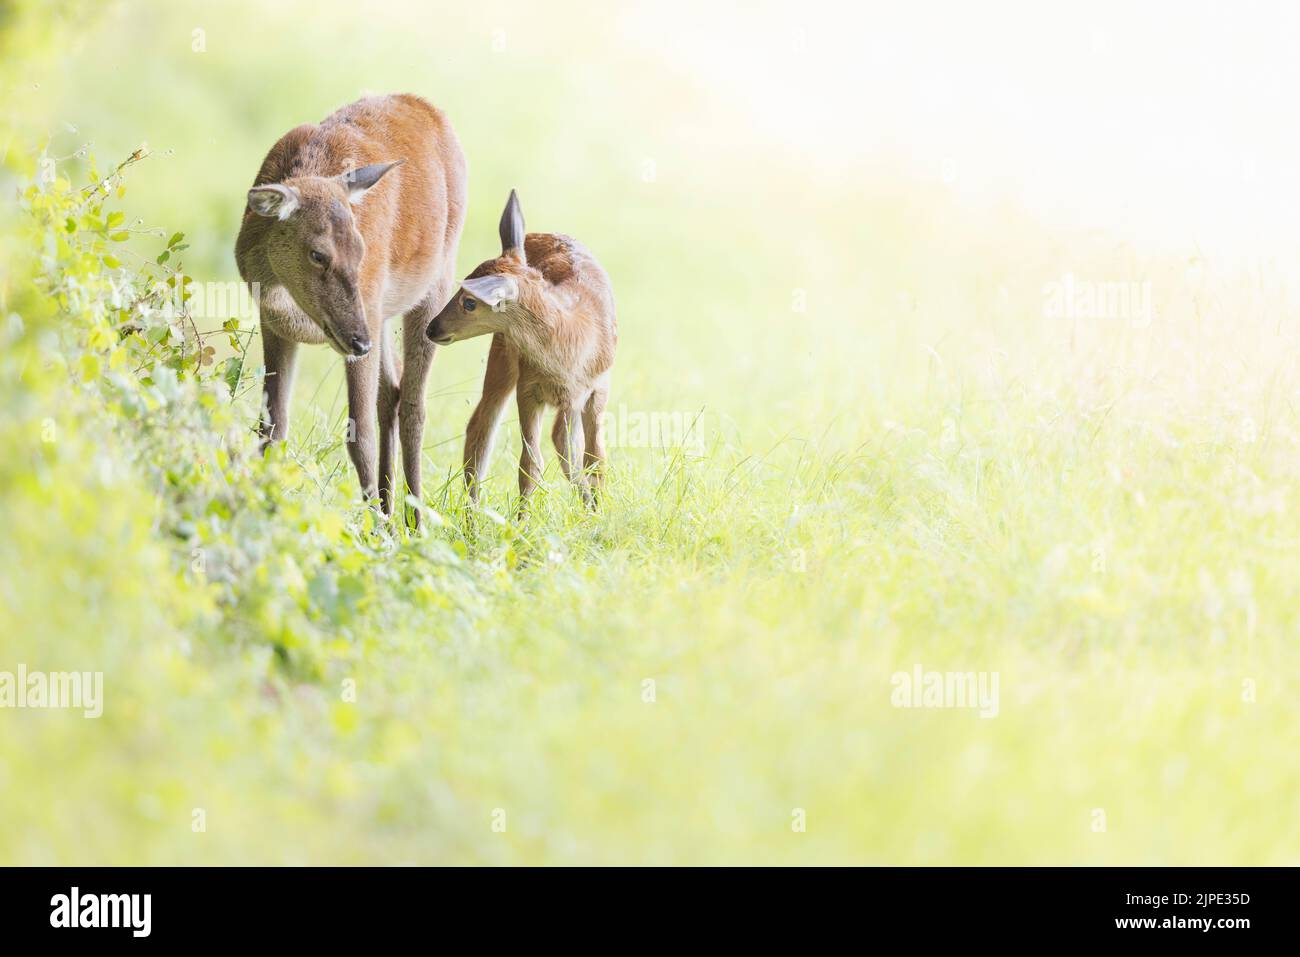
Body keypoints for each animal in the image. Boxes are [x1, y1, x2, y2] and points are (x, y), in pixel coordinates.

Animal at [235, 94, 467, 525]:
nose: (359, 342)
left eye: (361, 251)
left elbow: (359, 435)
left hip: (435, 280)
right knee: (391, 392)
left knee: (414, 406)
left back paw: (413, 521)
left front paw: (374, 530)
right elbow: (272, 426)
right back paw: (392, 509)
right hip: (383, 313)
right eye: (318, 254)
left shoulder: (368, 306)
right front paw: (261, 506)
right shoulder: (273, 322)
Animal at [425, 190, 617, 509]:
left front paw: (594, 510)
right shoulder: (529, 389)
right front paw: (522, 520)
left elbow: (586, 458)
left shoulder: (587, 391)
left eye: (469, 301)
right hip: (502, 354)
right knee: (480, 426)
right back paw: (470, 514)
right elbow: (531, 464)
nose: (432, 328)